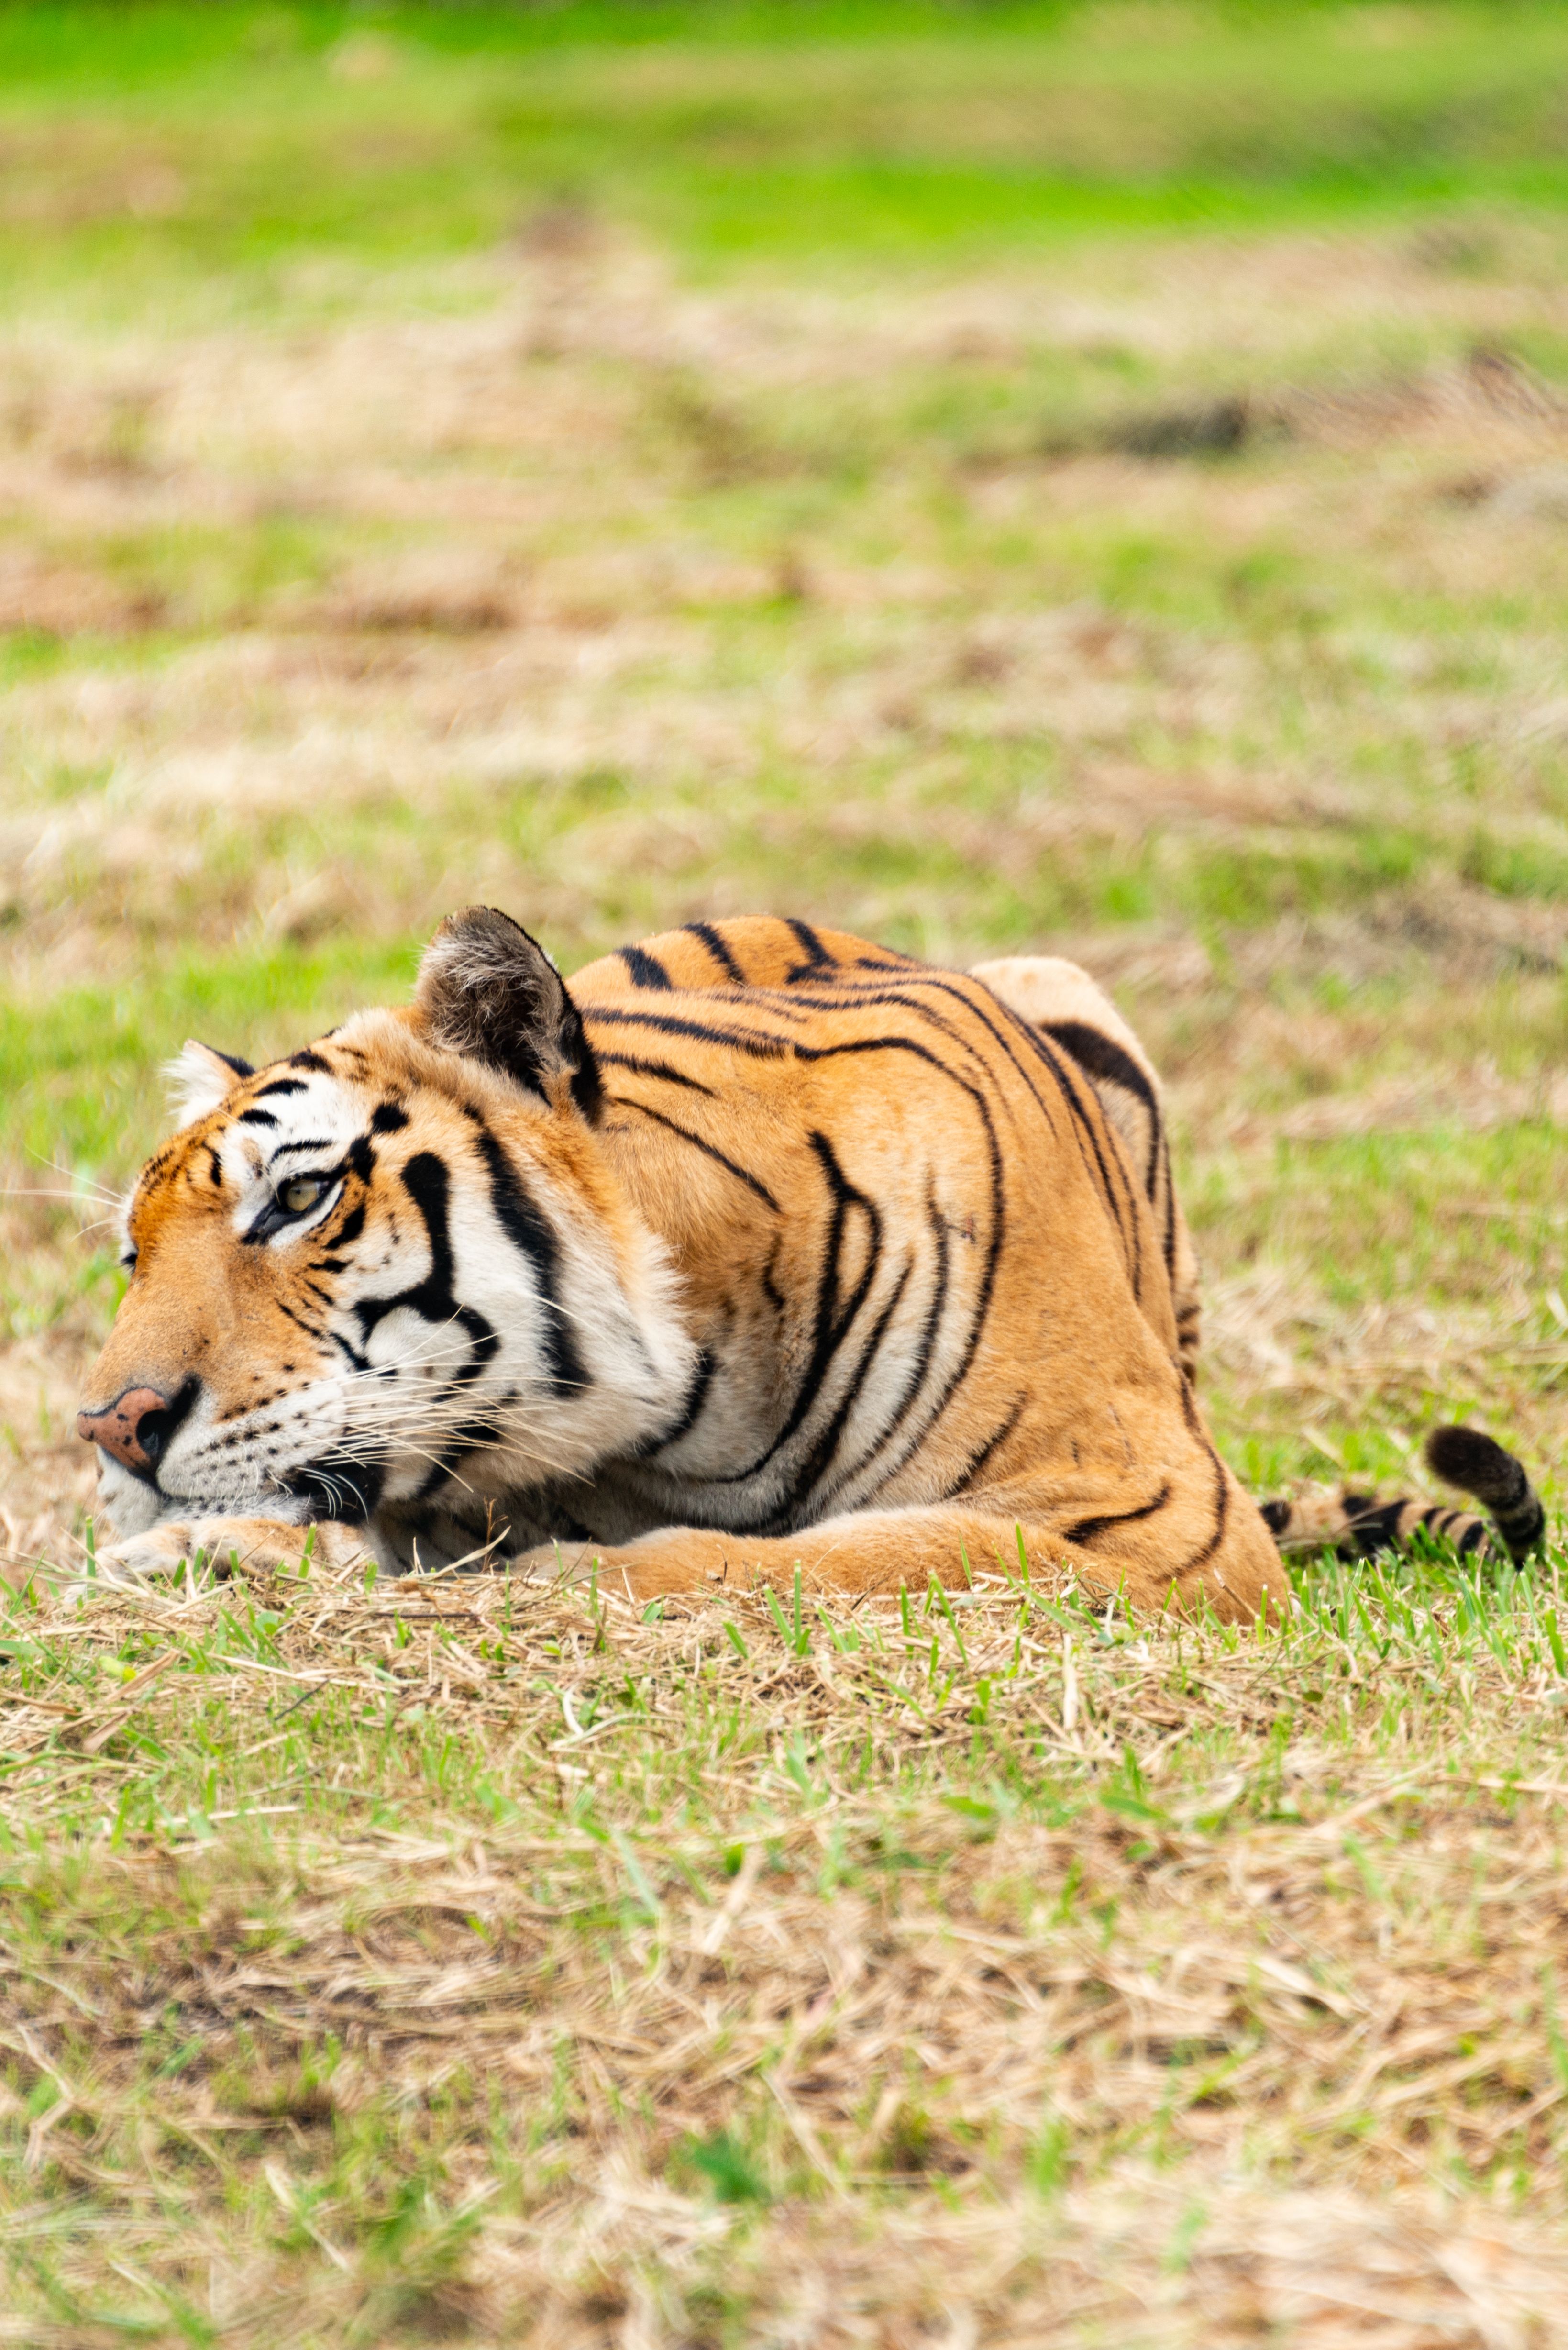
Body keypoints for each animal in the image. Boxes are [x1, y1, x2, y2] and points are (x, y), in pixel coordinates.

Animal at [75, 910, 1545, 1614]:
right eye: (133, 1255)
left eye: (301, 1195)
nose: (110, 1428)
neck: (679, 1417)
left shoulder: (1162, 1515)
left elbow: (892, 1551)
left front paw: (552, 1585)